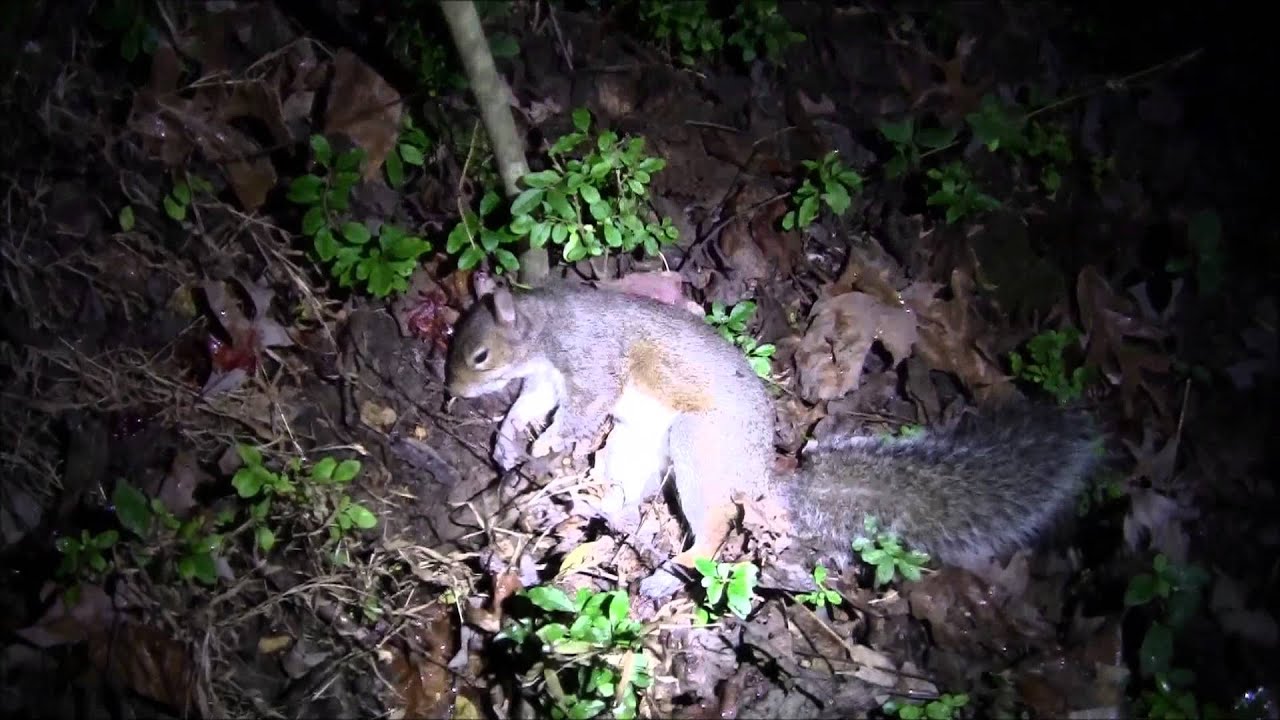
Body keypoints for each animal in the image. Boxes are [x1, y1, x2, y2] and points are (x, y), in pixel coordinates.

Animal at [445, 281, 1102, 598]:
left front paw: (540, 449)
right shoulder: (542, 382)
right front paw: (509, 442)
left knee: (713, 531)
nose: (449, 388)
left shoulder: (590, 367)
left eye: (479, 355)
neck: (548, 328)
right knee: (628, 492)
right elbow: (529, 408)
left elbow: (579, 414)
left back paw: (666, 571)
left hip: (697, 446)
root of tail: (759, 481)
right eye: (455, 340)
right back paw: (592, 507)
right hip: (638, 450)